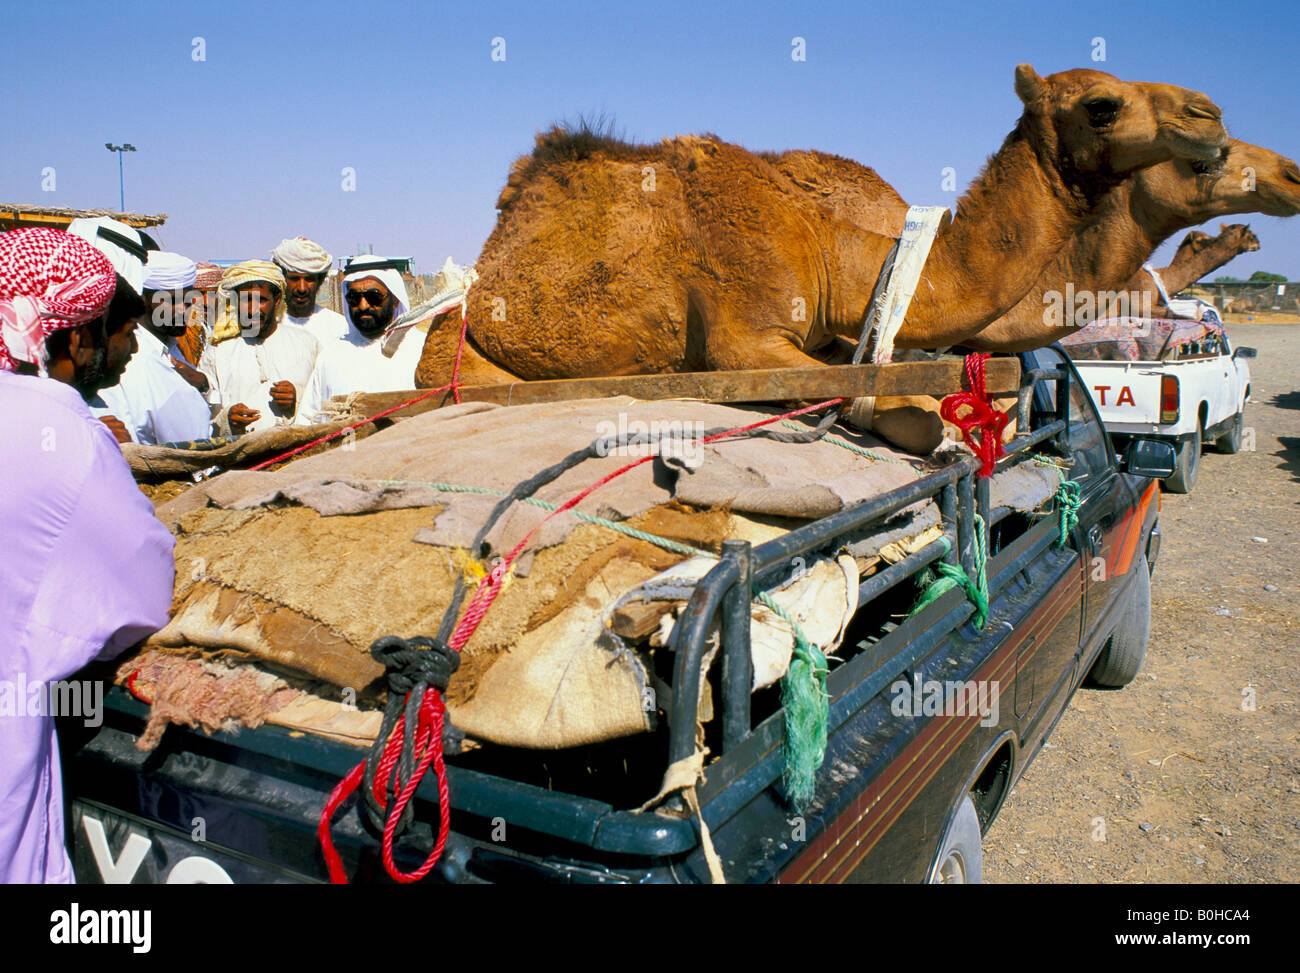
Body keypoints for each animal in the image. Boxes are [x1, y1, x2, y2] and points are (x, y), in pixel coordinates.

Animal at [417, 65, 1227, 452]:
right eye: (1102, 105)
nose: (1211, 115)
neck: (832, 250)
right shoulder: (744, 335)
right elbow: (893, 404)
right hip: (454, 354)